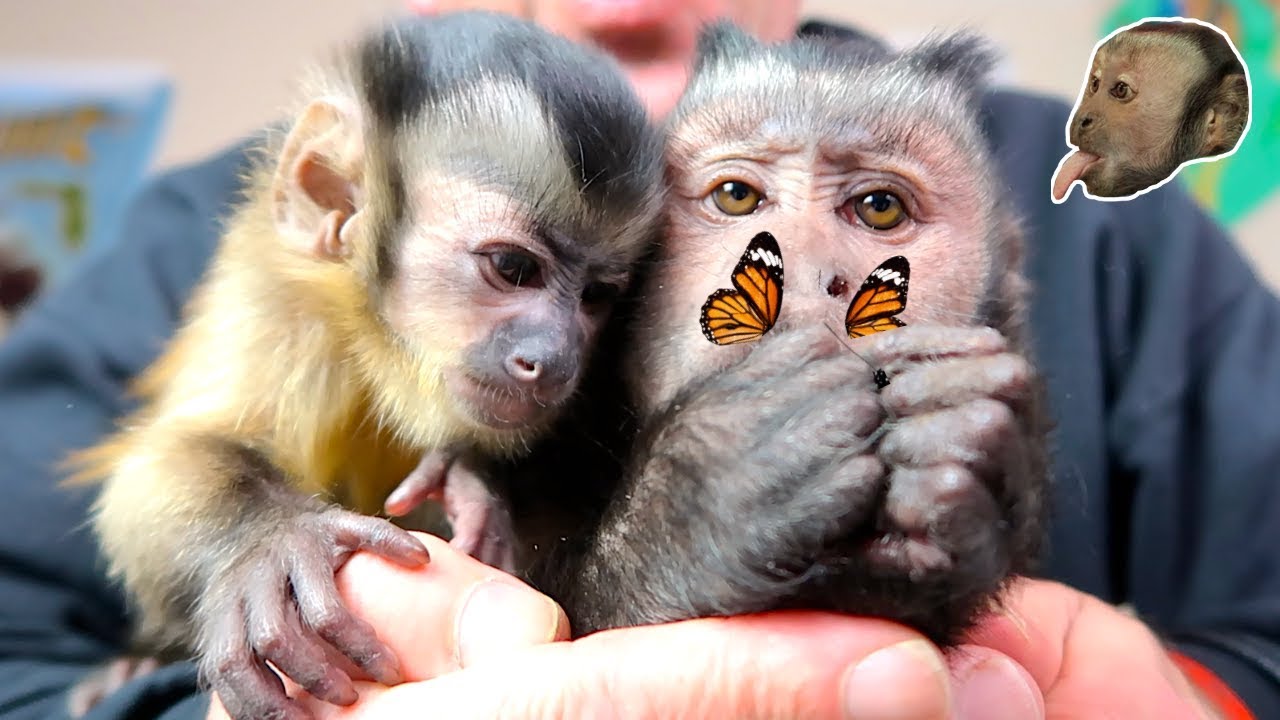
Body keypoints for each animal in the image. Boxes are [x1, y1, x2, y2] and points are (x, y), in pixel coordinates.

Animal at [65, 11, 664, 720]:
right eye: (514, 268)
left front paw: (470, 479)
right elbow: (166, 457)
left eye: (596, 297)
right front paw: (272, 539)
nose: (552, 358)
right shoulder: (282, 303)